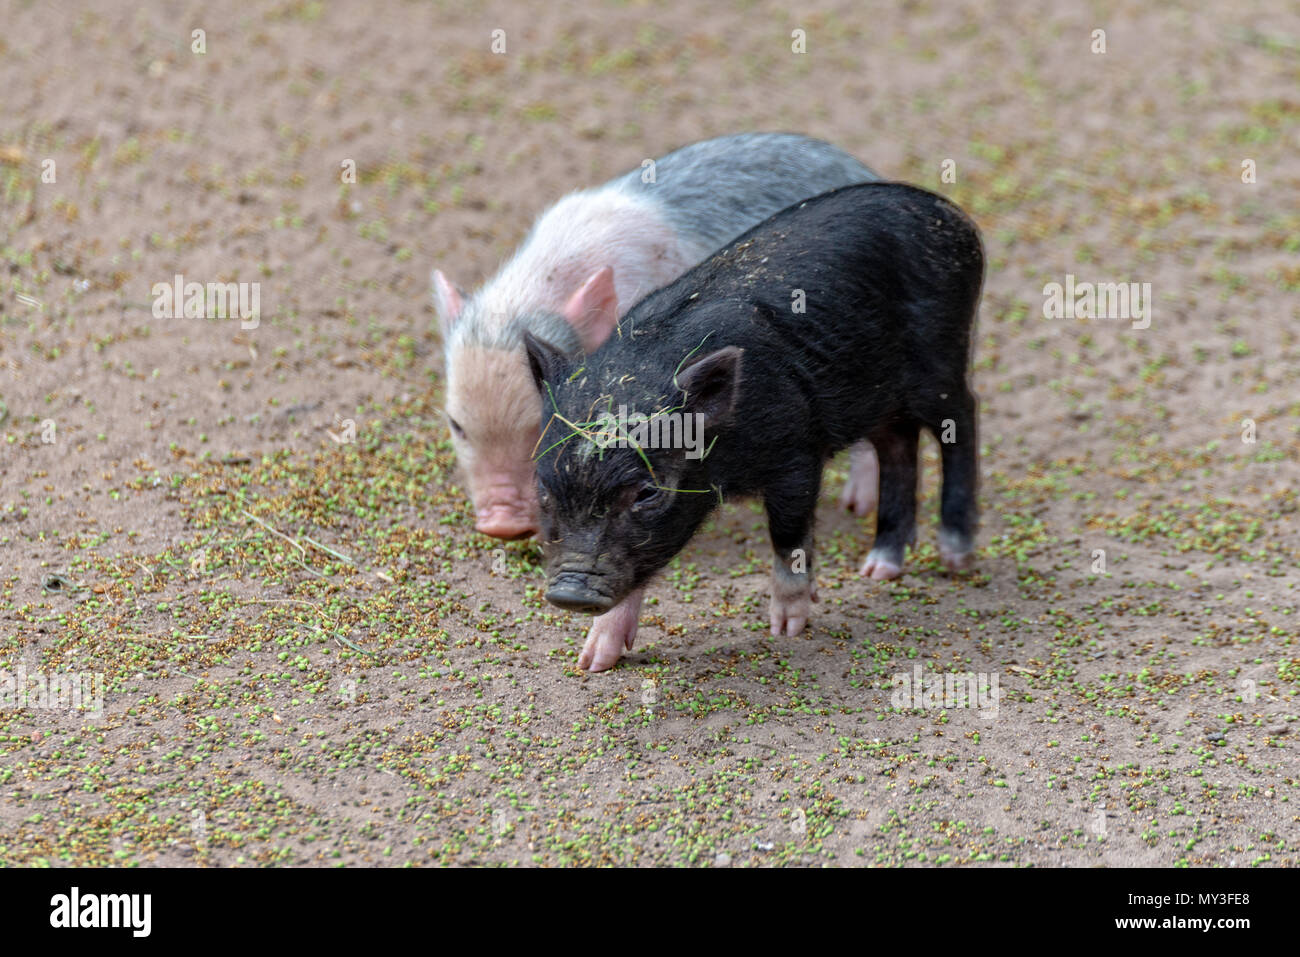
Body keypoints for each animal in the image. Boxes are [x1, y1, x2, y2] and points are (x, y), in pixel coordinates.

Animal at [524, 181, 984, 671]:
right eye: (544, 487)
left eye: (648, 492)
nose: (570, 593)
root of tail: (950, 212)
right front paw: (592, 661)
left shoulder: (797, 451)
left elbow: (788, 536)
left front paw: (786, 629)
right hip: (879, 398)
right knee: (898, 445)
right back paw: (878, 569)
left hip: (942, 358)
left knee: (962, 418)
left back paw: (955, 557)